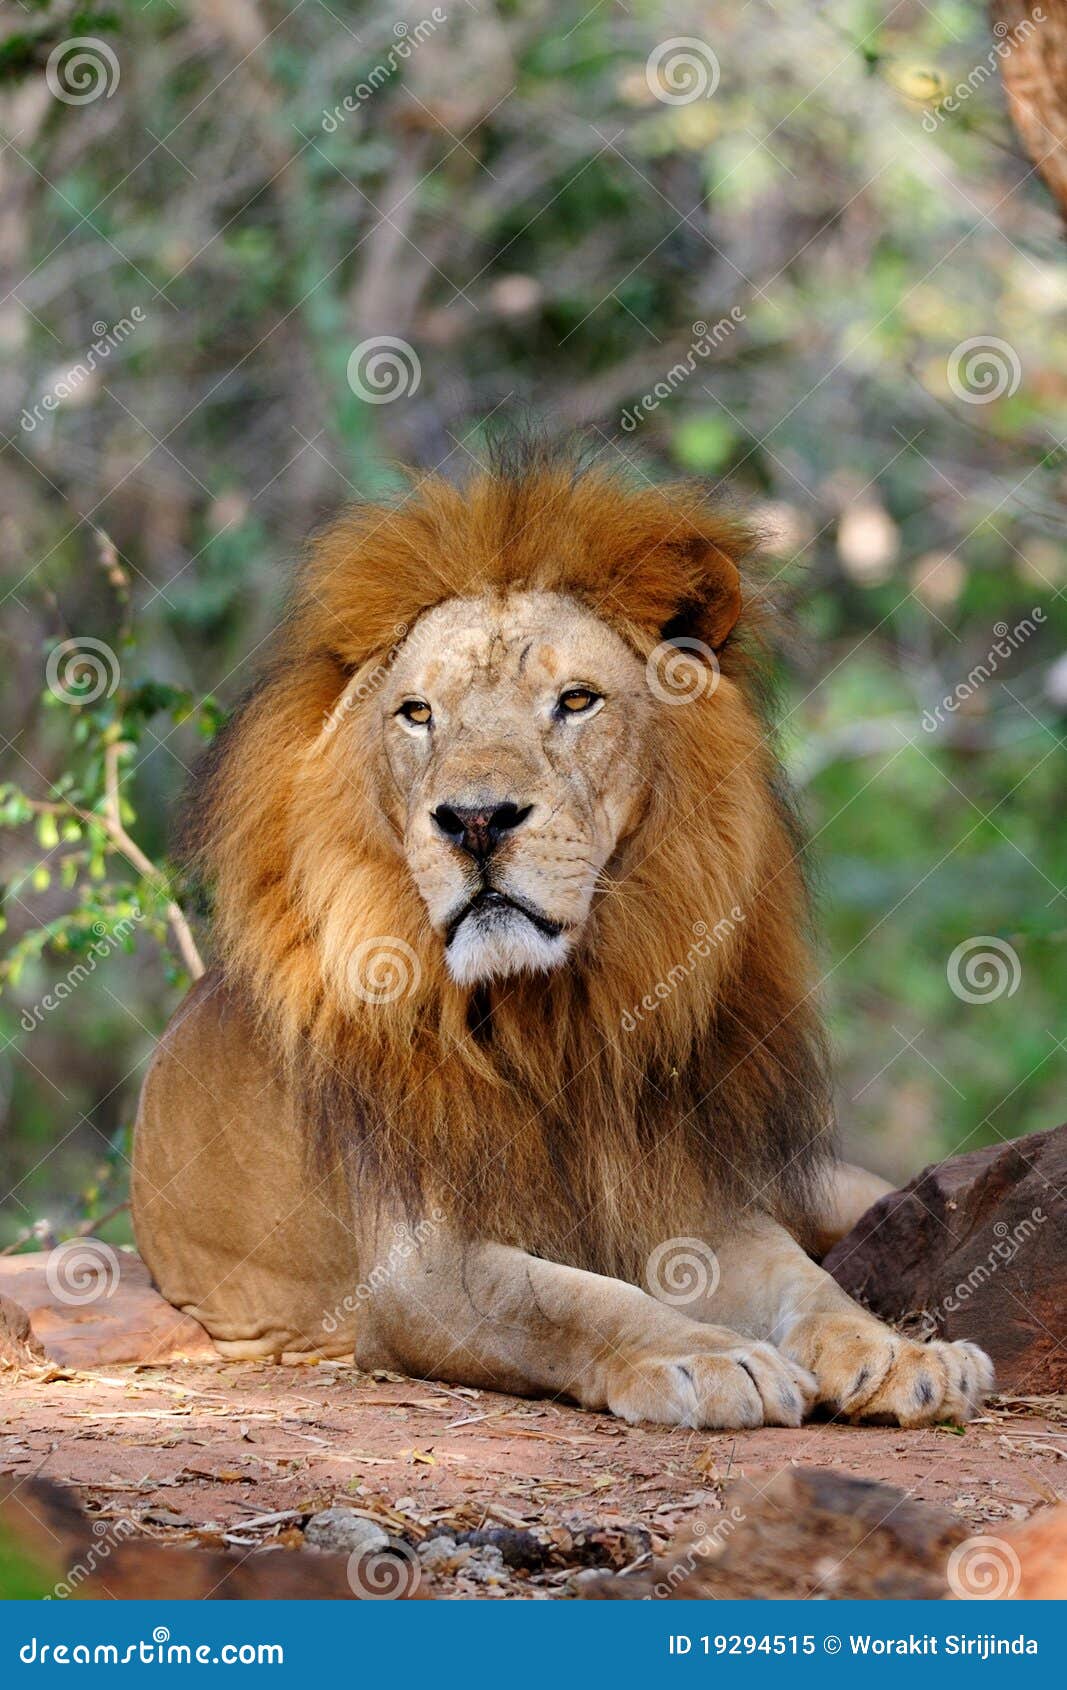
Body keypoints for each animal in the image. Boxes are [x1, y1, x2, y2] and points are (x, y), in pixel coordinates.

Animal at [132, 447, 993, 1429]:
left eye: (576, 701)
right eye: (417, 714)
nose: (474, 821)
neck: (551, 1014)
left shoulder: (689, 1201)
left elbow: (806, 1284)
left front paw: (900, 1355)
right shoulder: (415, 1272)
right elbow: (570, 1300)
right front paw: (706, 1359)